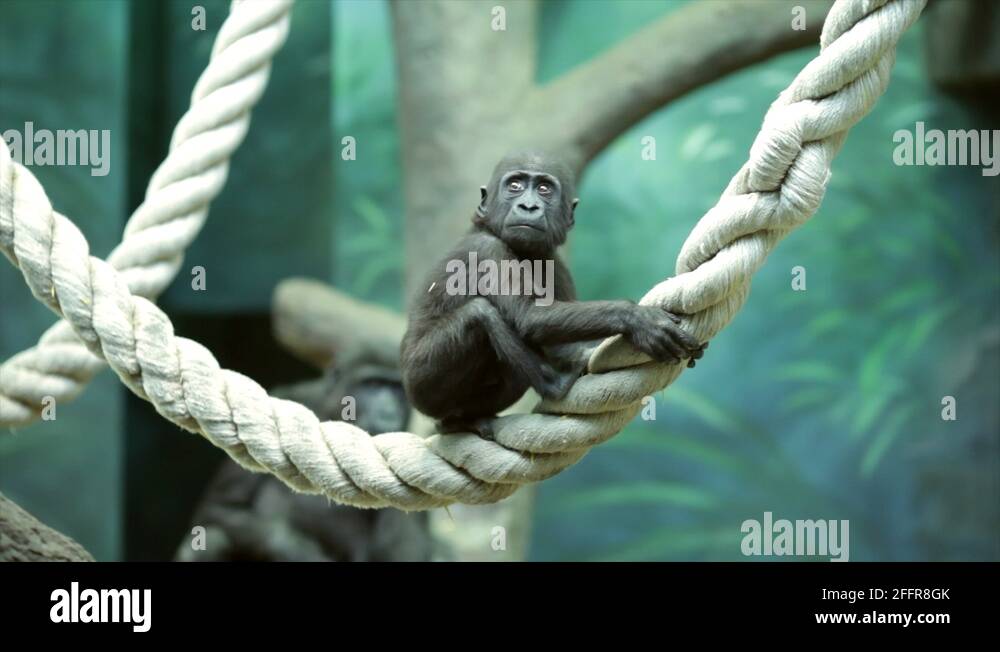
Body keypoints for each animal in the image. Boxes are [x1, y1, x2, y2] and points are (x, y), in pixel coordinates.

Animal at [400, 151, 706, 439]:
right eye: (515, 185)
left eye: (545, 189)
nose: (528, 206)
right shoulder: (486, 249)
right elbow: (531, 316)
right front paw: (638, 319)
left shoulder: (555, 262)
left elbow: (559, 343)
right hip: (420, 386)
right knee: (480, 314)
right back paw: (553, 386)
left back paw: (462, 420)